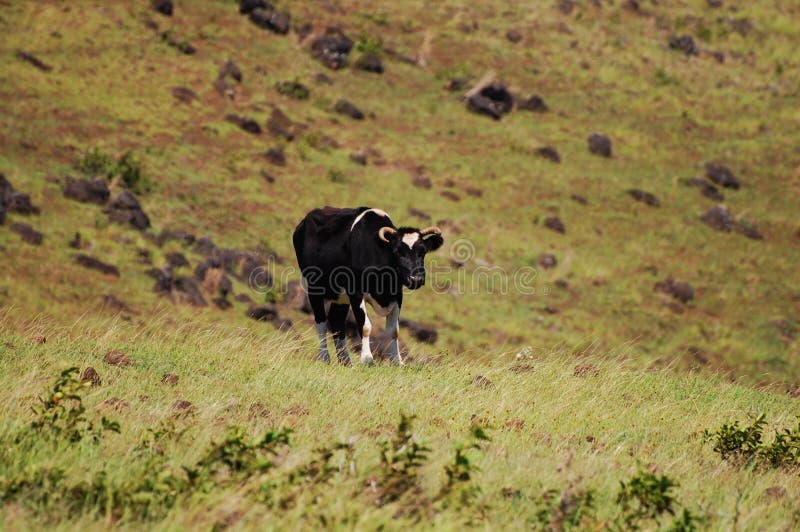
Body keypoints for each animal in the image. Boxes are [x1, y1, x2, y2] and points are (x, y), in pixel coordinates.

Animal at [292, 206, 444, 365]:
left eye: (423, 251)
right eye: (397, 251)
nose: (416, 279)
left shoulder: (397, 294)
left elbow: (393, 330)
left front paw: (397, 361)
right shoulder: (356, 292)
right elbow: (365, 326)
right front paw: (367, 359)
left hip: (340, 297)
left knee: (336, 321)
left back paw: (345, 361)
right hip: (313, 288)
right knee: (321, 321)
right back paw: (324, 357)